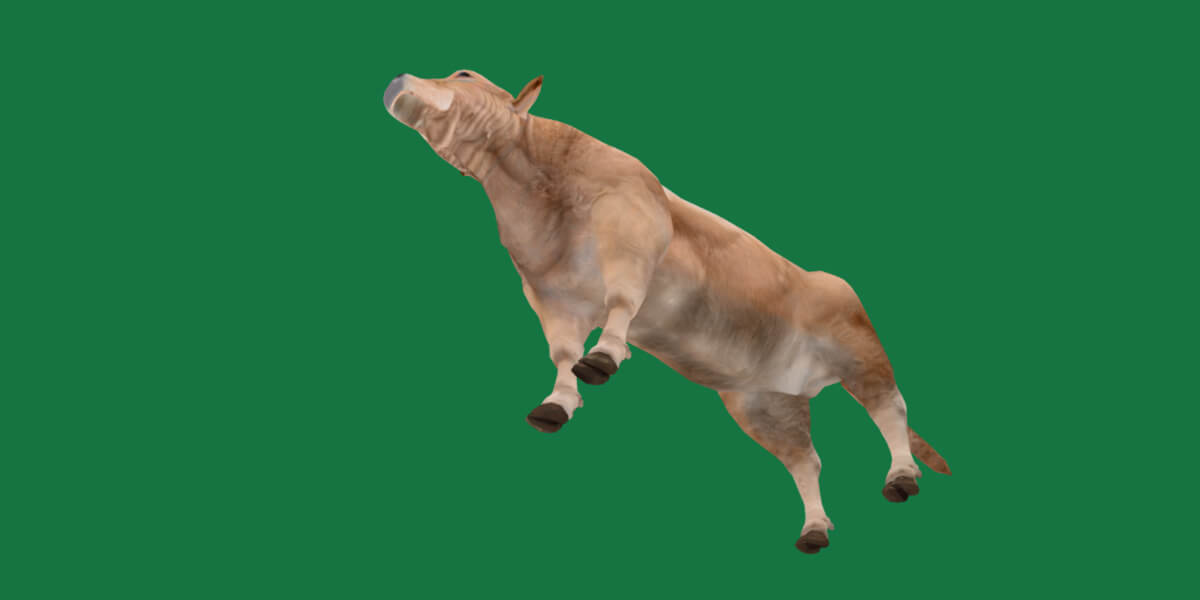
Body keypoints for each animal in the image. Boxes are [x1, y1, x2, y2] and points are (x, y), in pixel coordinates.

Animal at [382, 70, 950, 553]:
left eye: (463, 73)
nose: (397, 79)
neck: (531, 188)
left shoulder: (632, 225)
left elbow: (622, 299)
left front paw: (605, 355)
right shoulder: (548, 291)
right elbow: (561, 351)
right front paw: (557, 401)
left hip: (858, 347)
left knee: (889, 408)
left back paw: (901, 476)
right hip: (761, 402)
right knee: (805, 460)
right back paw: (814, 528)